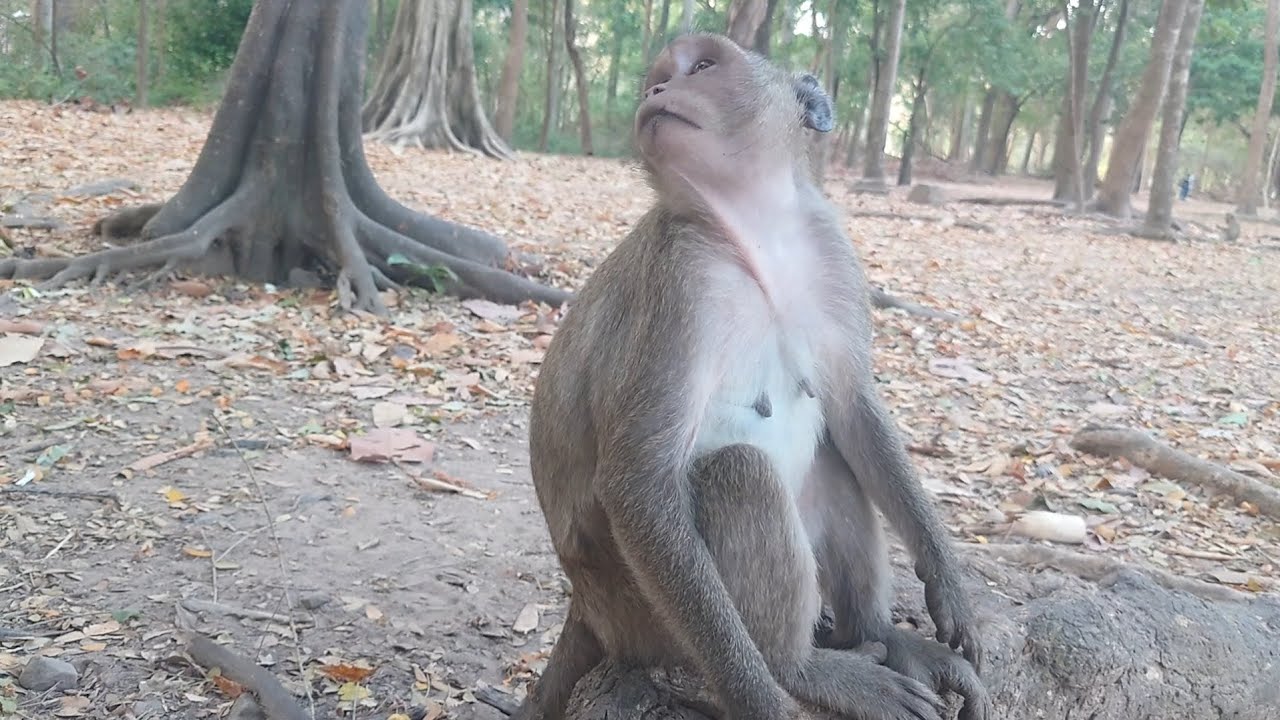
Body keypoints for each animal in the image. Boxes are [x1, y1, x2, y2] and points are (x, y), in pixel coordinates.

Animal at [518, 33, 989, 720]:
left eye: (703, 66)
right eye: (661, 76)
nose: (657, 89)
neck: (753, 229)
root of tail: (586, 607)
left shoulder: (832, 252)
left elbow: (853, 409)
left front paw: (947, 584)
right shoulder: (681, 284)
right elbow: (639, 480)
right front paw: (759, 698)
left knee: (832, 460)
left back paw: (880, 635)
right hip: (650, 619)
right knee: (740, 472)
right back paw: (800, 669)